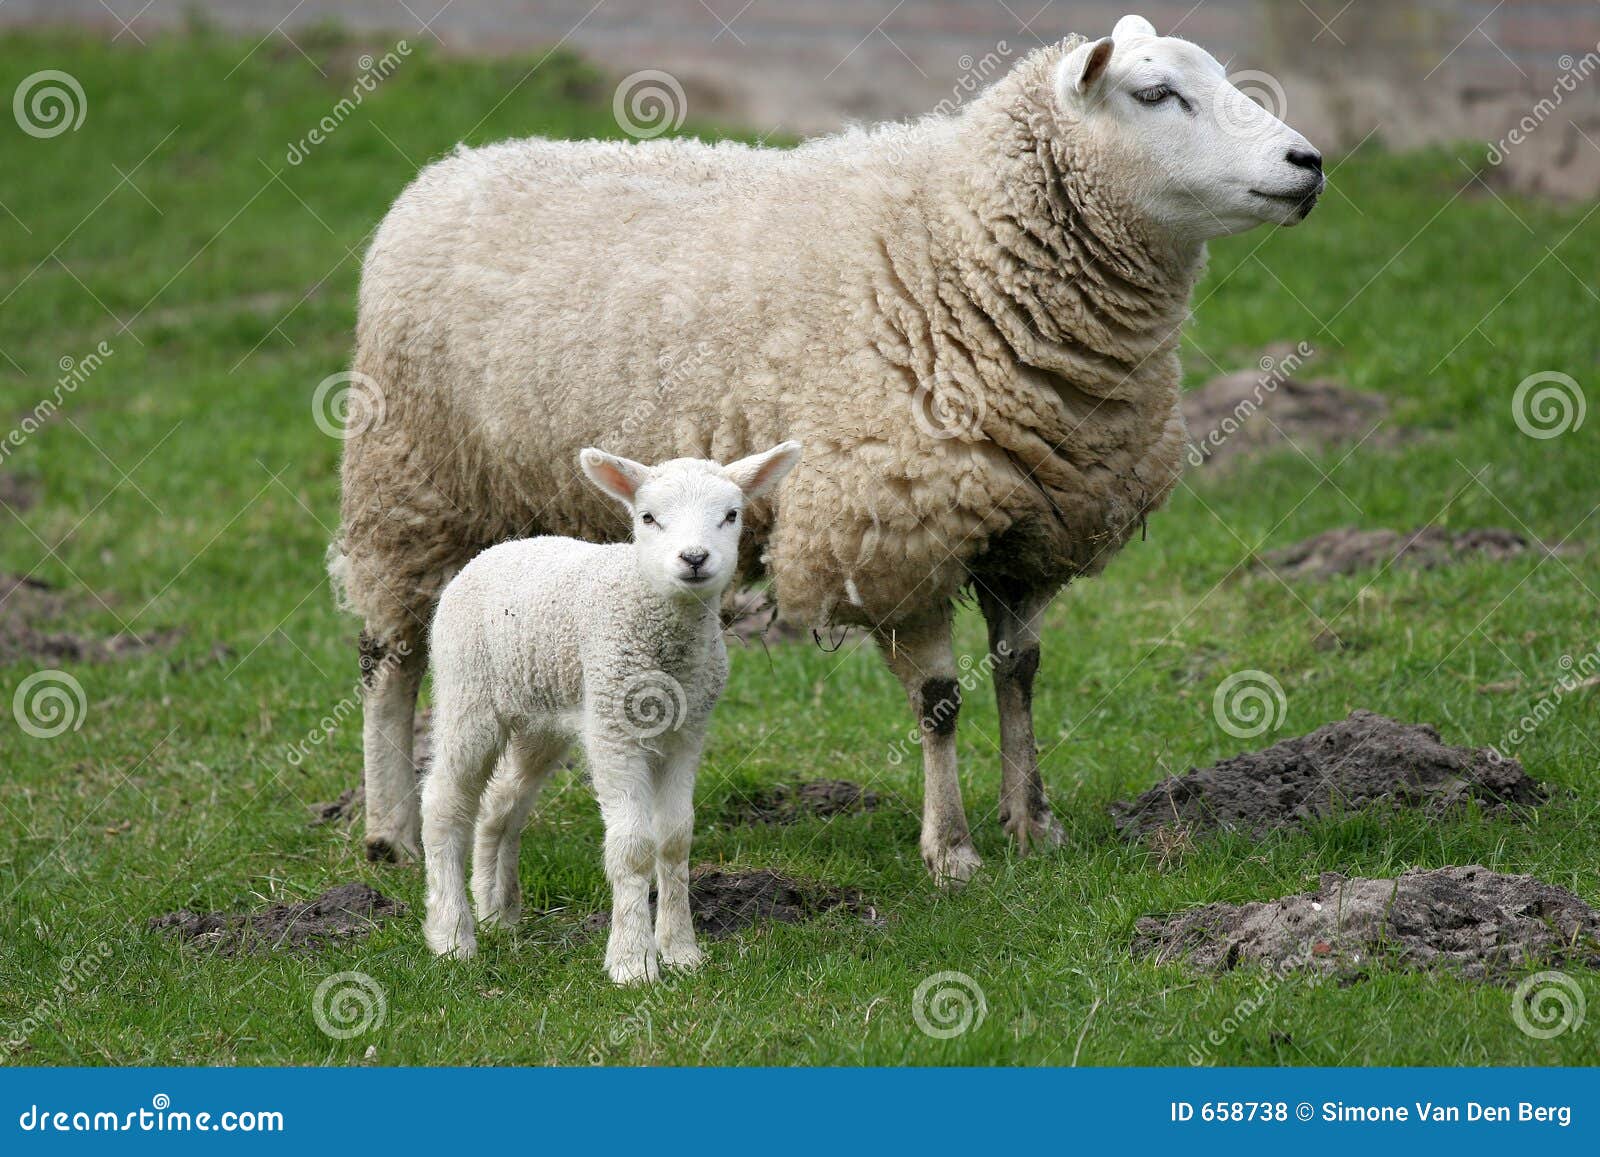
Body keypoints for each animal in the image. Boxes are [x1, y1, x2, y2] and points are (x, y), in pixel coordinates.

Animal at [332, 14, 1322, 884]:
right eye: (1156, 95)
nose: (1309, 164)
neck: (960, 245)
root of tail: (450, 168)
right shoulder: (896, 528)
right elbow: (940, 699)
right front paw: (952, 851)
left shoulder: (1028, 527)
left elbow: (1021, 675)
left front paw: (1034, 824)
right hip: (410, 484)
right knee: (389, 655)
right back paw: (389, 835)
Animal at [420, 441, 802, 983]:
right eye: (648, 517)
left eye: (731, 515)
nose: (694, 558)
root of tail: (498, 549)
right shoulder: (613, 729)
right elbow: (634, 847)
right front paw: (633, 963)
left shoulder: (687, 732)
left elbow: (675, 840)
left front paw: (681, 952)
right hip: (468, 693)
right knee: (444, 803)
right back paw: (452, 936)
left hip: (542, 718)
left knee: (501, 803)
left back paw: (497, 910)